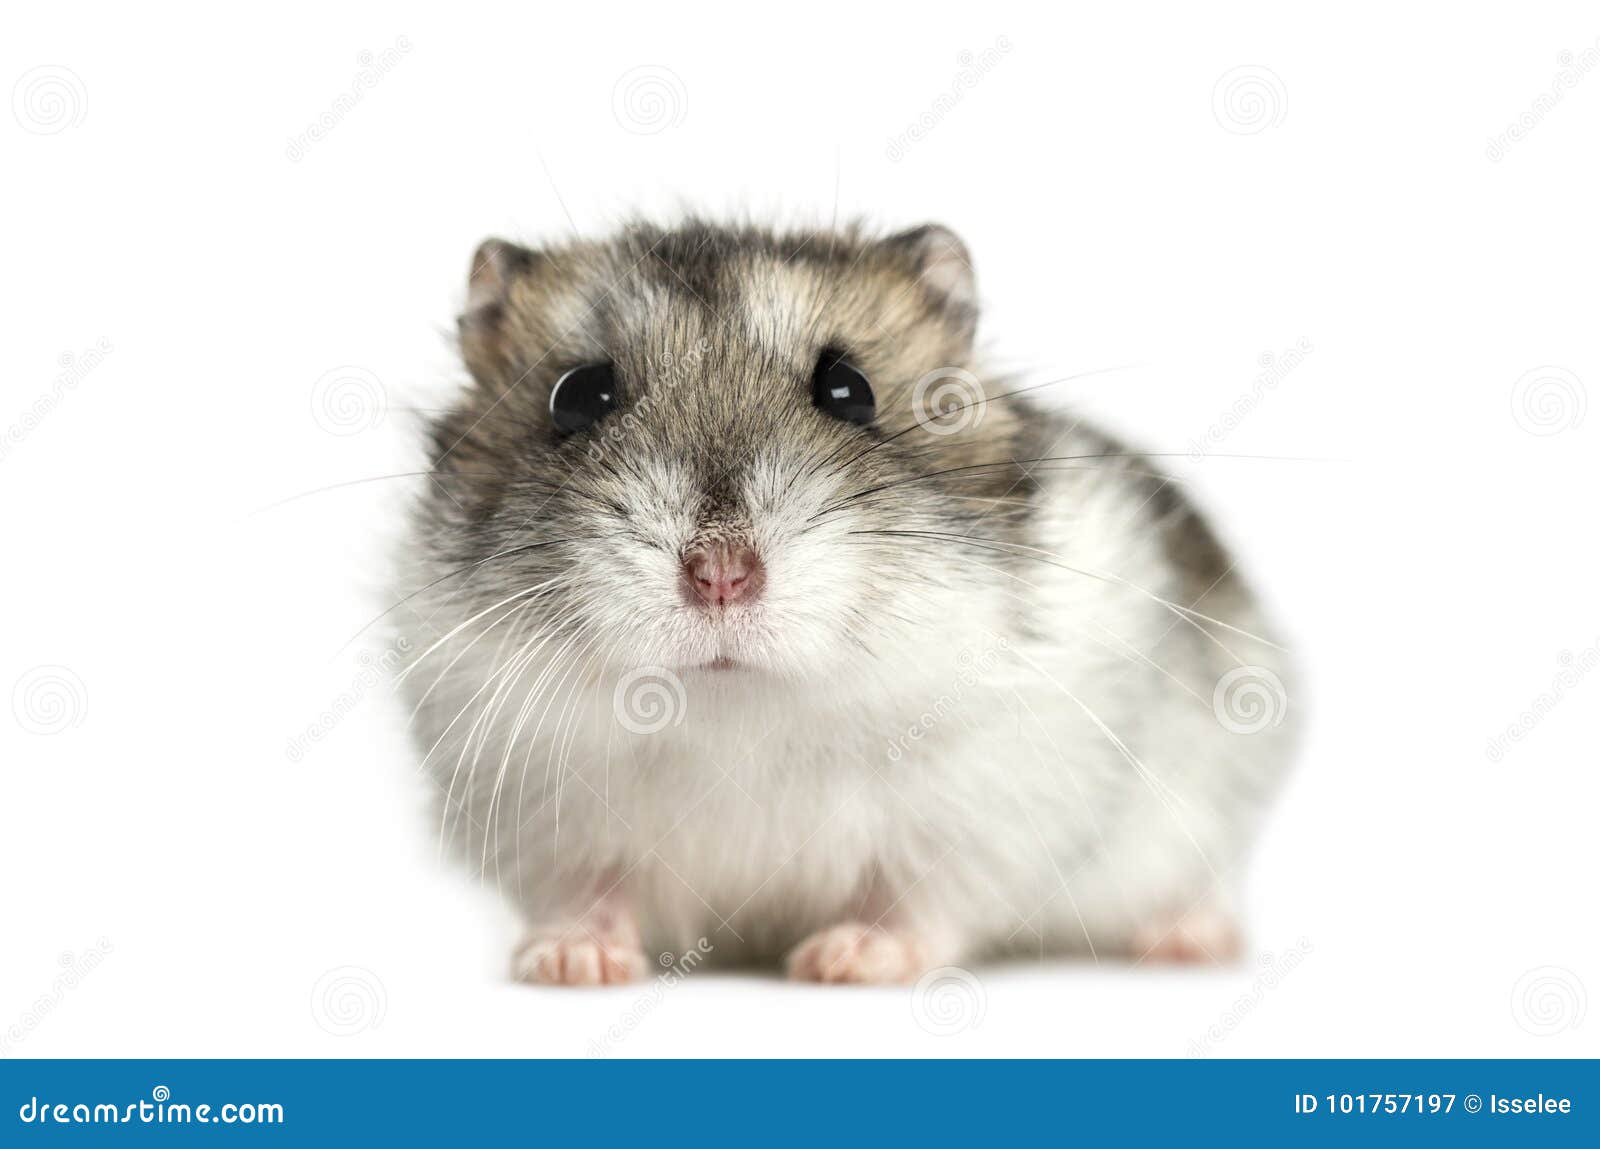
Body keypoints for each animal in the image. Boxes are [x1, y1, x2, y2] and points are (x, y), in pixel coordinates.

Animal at [395, 220, 1296, 985]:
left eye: (850, 390)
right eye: (577, 396)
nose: (720, 574)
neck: (737, 714)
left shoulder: (983, 815)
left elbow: (918, 899)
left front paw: (845, 960)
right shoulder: (546, 821)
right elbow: (588, 892)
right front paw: (567, 962)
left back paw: (1191, 941)